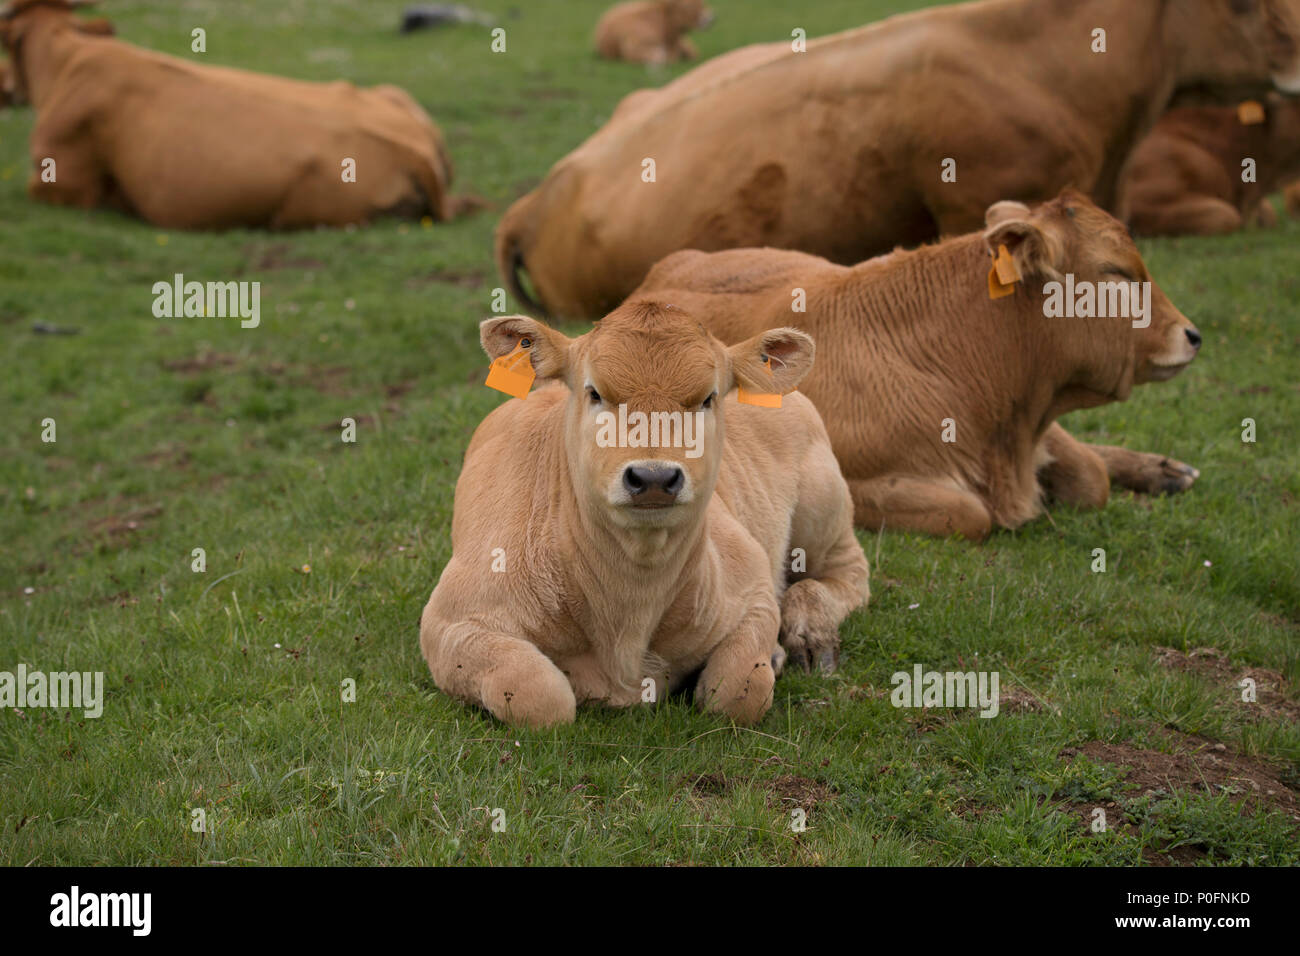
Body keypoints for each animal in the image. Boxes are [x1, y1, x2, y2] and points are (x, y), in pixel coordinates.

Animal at [419, 302, 870, 728]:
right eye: (594, 392)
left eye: (708, 398)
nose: (654, 478)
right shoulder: (451, 622)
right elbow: (539, 694)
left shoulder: (752, 587)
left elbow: (740, 692)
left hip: (823, 508)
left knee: (847, 575)